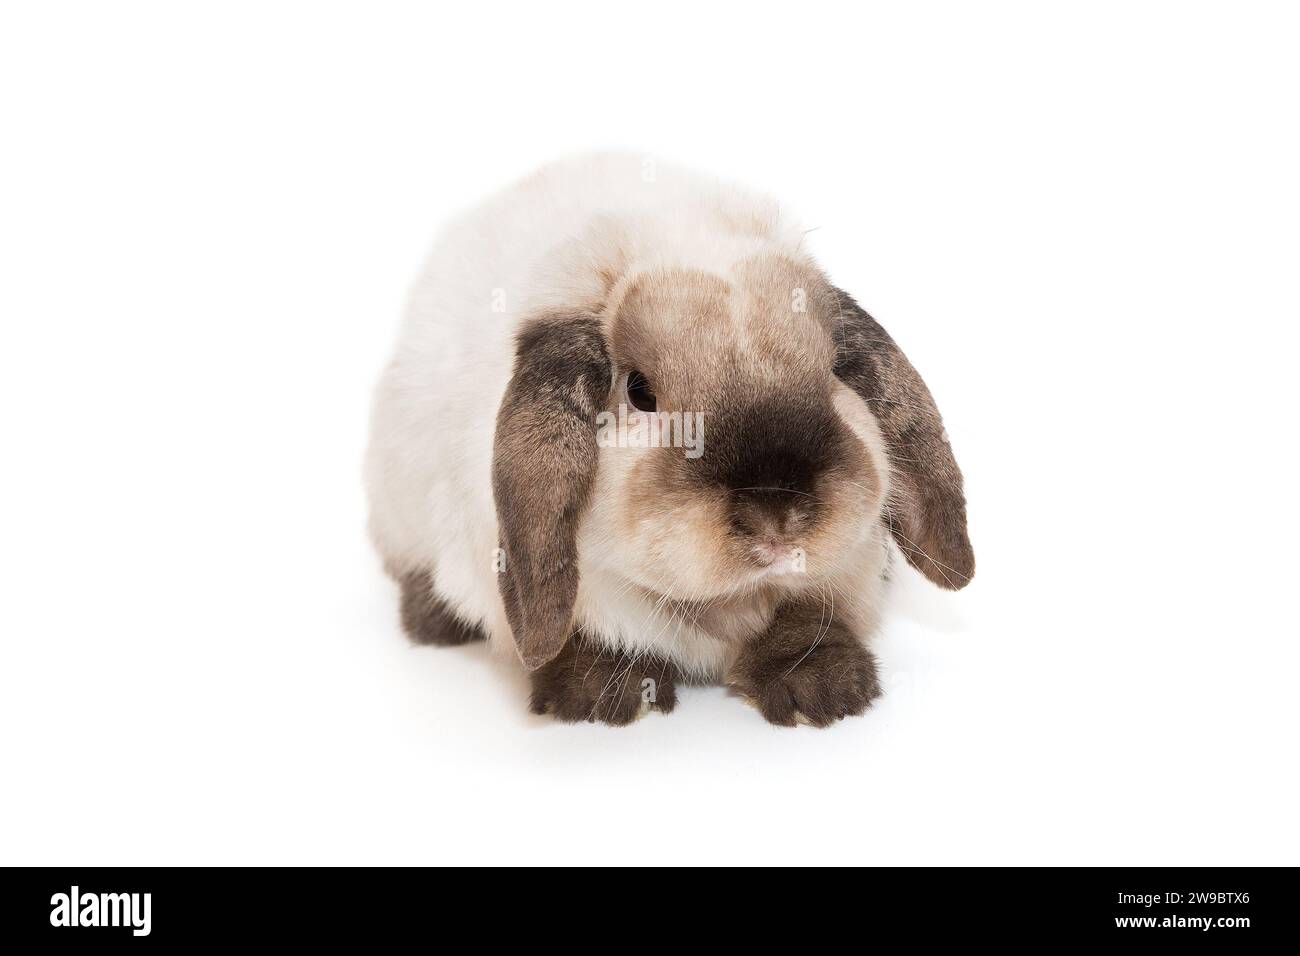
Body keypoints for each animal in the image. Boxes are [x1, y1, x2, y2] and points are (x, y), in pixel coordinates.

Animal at [365, 153, 973, 726]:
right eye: (640, 392)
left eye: (831, 372)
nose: (778, 516)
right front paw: (603, 697)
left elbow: (800, 622)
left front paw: (823, 690)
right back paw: (432, 623)